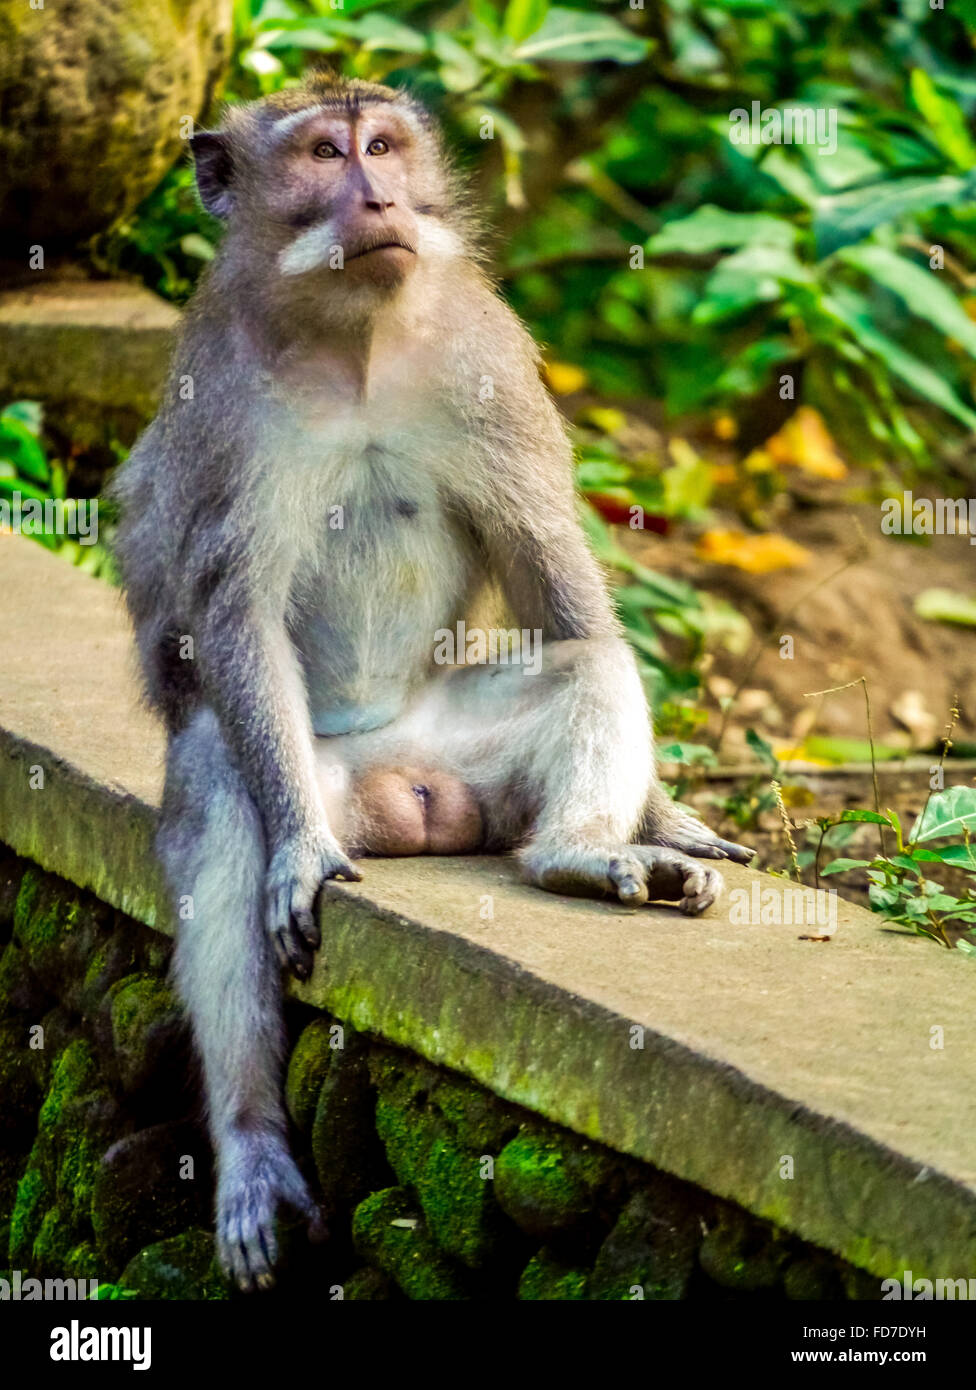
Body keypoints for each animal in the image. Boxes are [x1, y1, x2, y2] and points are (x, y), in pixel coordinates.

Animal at [111, 73, 752, 1293]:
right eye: (325, 153)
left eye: (385, 146)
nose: (379, 198)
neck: (355, 332)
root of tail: (404, 793)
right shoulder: (218, 399)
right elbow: (232, 612)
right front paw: (296, 853)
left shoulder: (487, 358)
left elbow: (552, 568)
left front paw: (668, 816)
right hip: (326, 783)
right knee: (222, 783)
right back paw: (252, 1140)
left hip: (464, 760)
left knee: (589, 665)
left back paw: (583, 854)